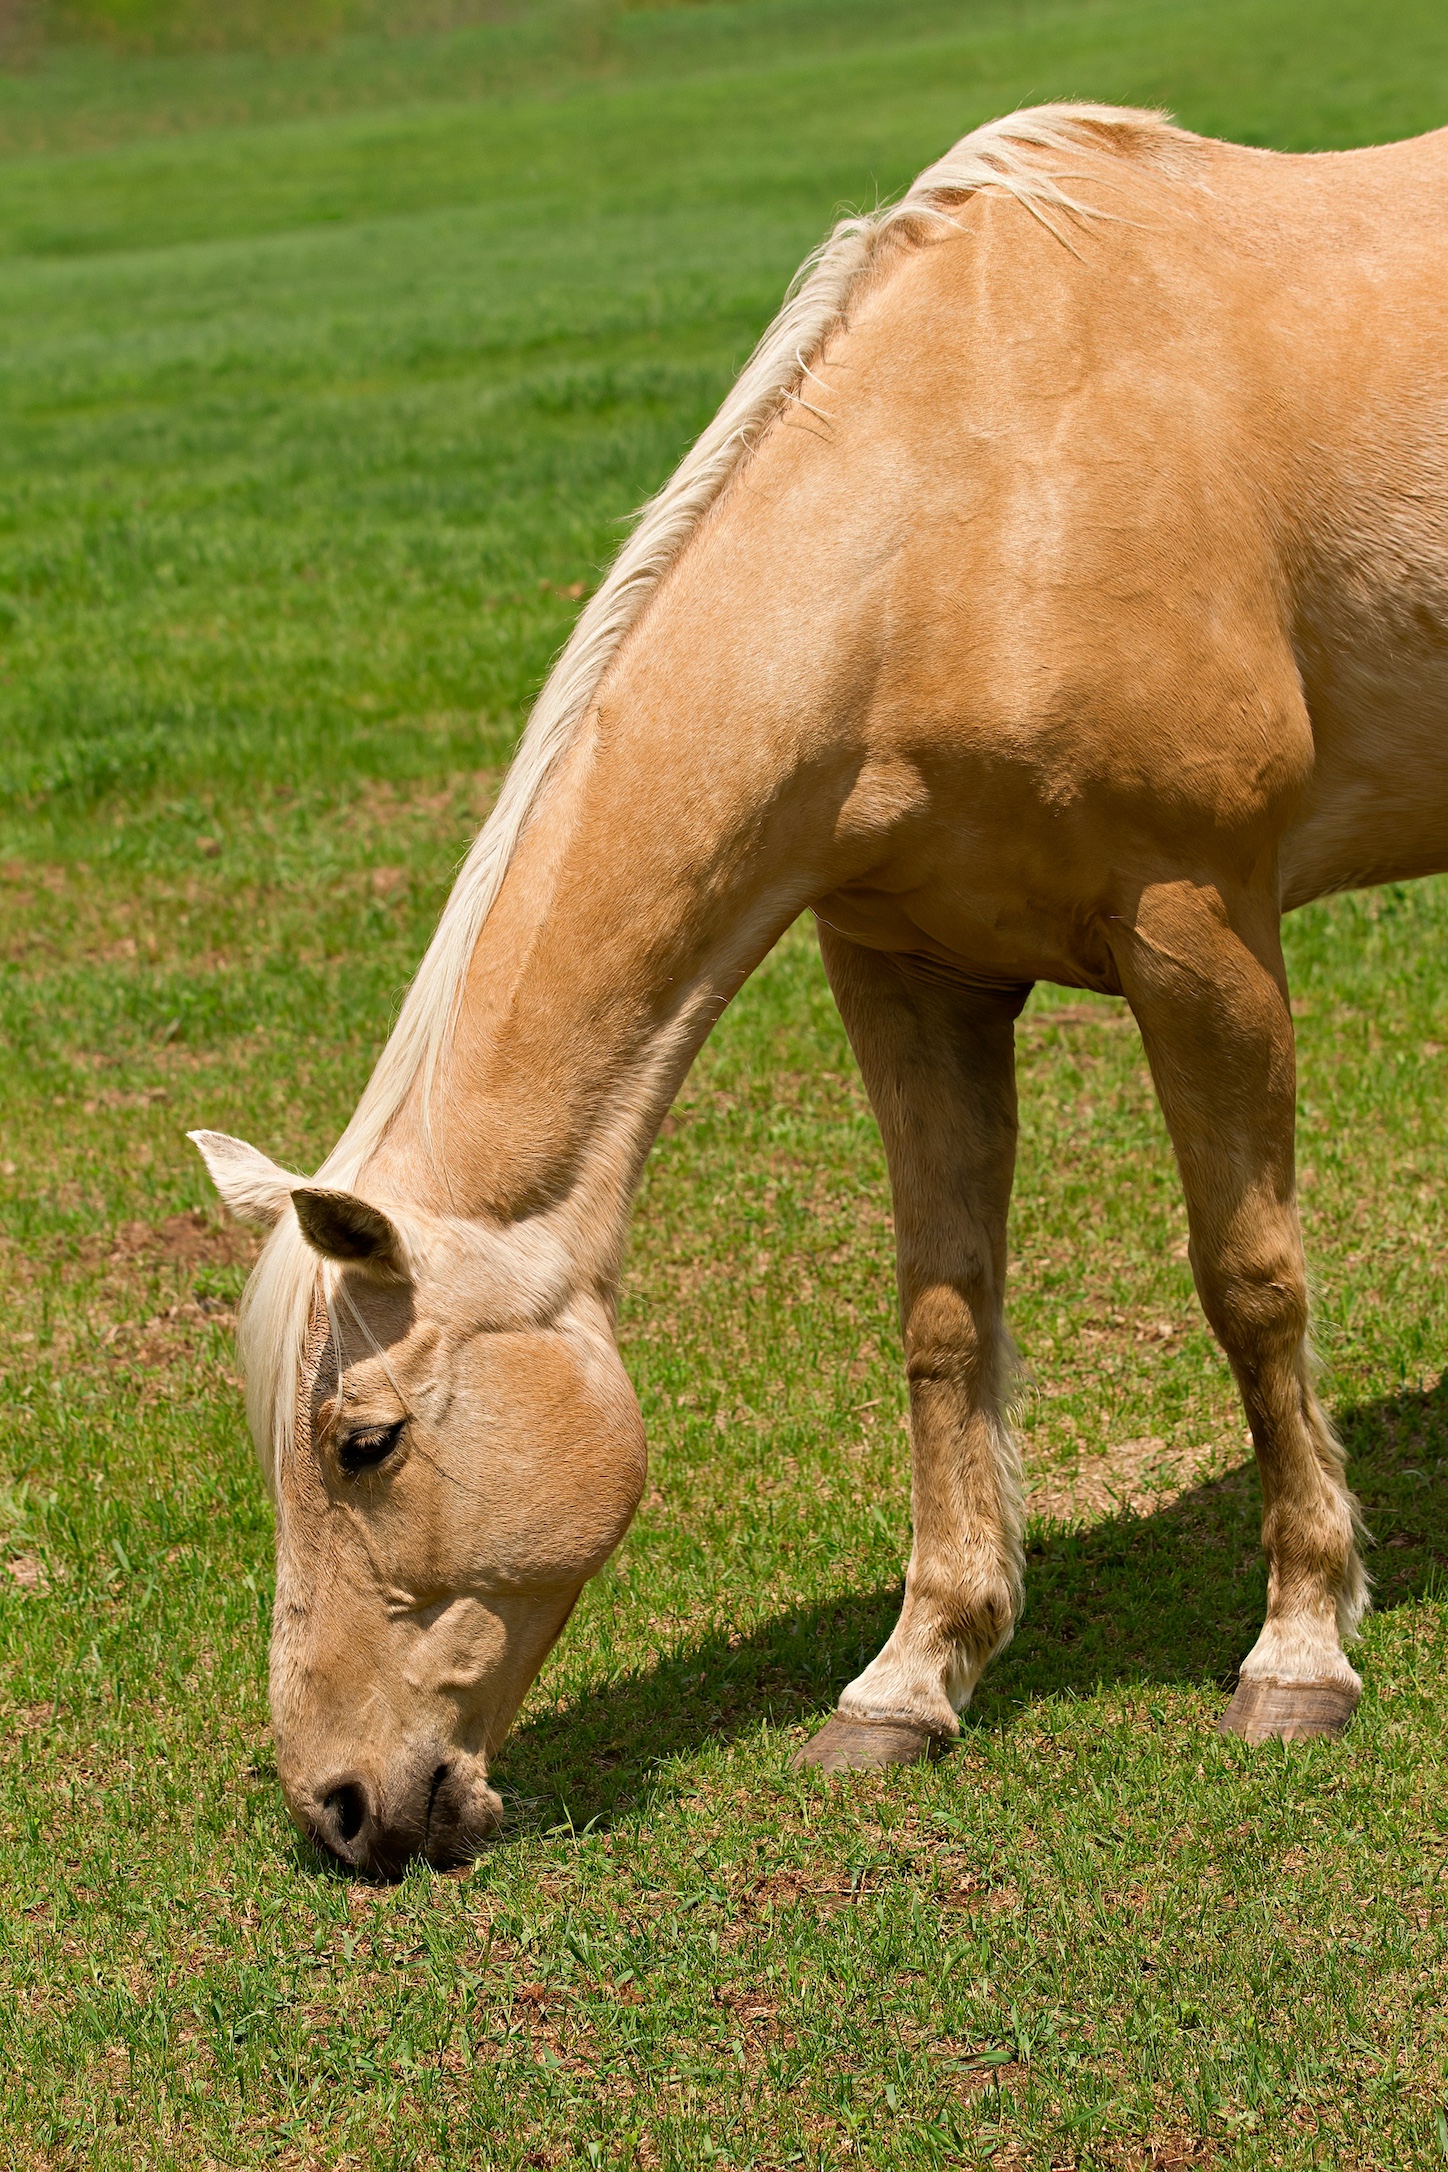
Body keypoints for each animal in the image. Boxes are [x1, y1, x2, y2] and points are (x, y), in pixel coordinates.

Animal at [192, 101, 1448, 1874]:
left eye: (364, 1442)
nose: (342, 1804)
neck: (973, 503)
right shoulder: (904, 969)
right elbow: (943, 1315)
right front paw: (914, 1680)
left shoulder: (1199, 930)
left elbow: (1249, 1283)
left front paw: (1302, 1648)